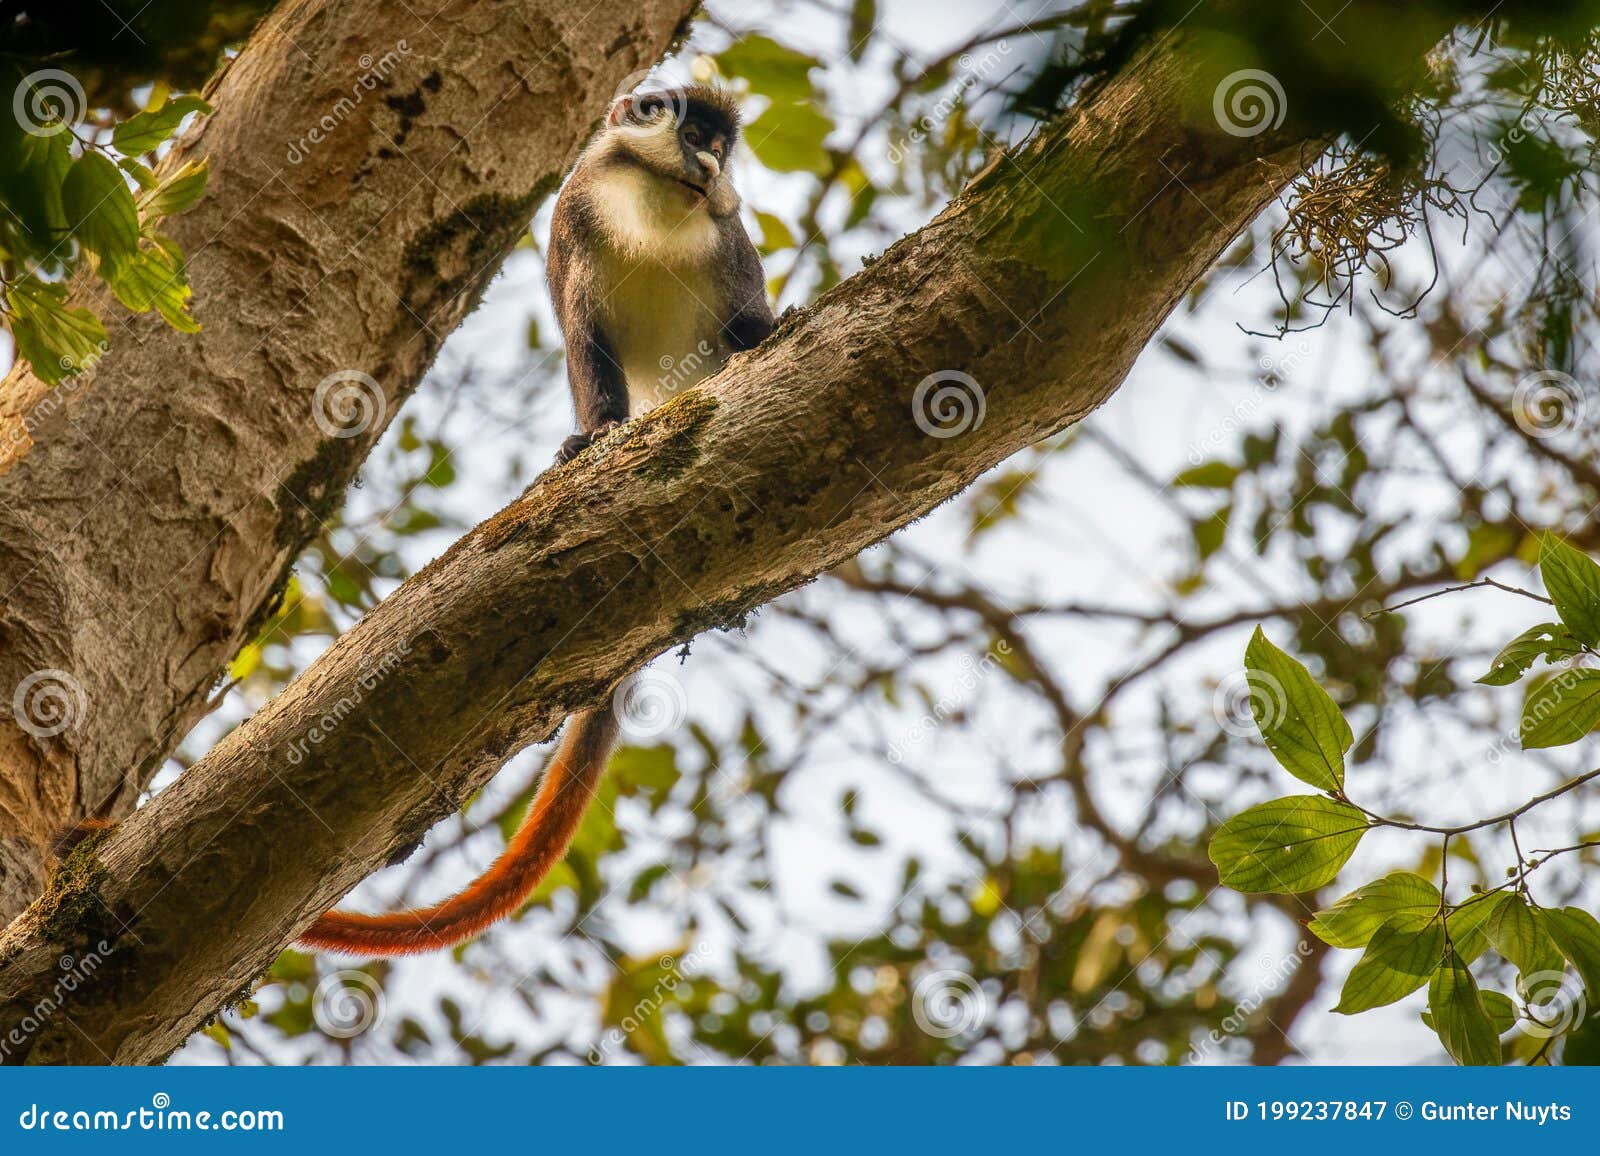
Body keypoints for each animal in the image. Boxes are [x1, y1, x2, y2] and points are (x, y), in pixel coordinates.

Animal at [299, 85, 773, 956]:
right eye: (692, 132)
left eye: (723, 151)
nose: (709, 164)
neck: (651, 215)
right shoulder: (571, 226)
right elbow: (584, 342)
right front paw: (591, 438)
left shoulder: (729, 243)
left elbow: (747, 316)